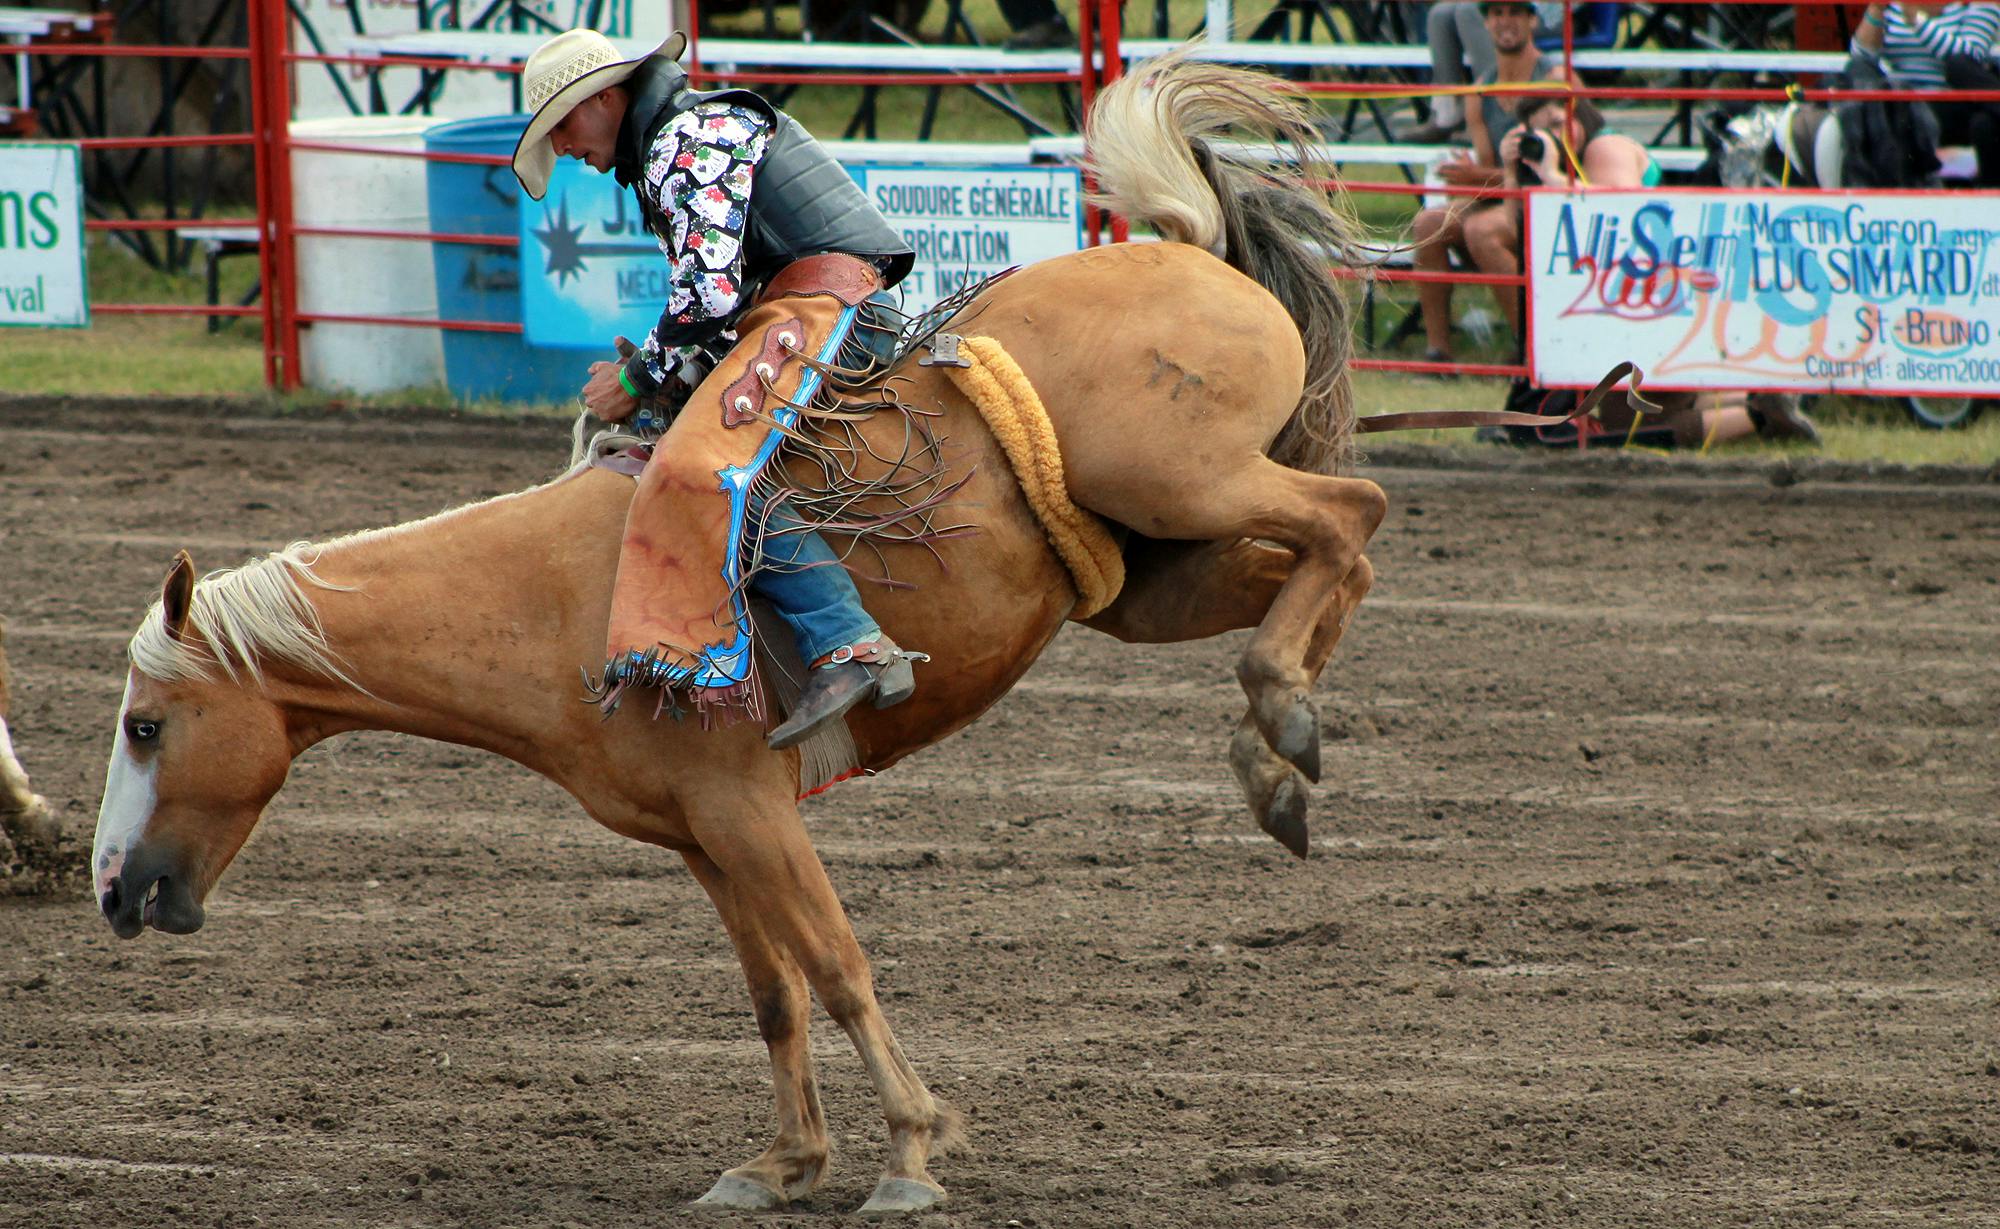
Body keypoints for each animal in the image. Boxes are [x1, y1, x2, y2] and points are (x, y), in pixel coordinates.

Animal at [88, 55, 1384, 1217]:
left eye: (145, 724)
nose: (113, 889)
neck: (545, 598)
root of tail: (1184, 245)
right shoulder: (704, 835)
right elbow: (773, 991)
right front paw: (779, 1164)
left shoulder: (752, 805)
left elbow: (838, 966)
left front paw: (910, 1154)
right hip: (1151, 574)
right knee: (1330, 558)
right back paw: (1274, 760)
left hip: (1182, 481)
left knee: (1349, 511)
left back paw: (1278, 716)